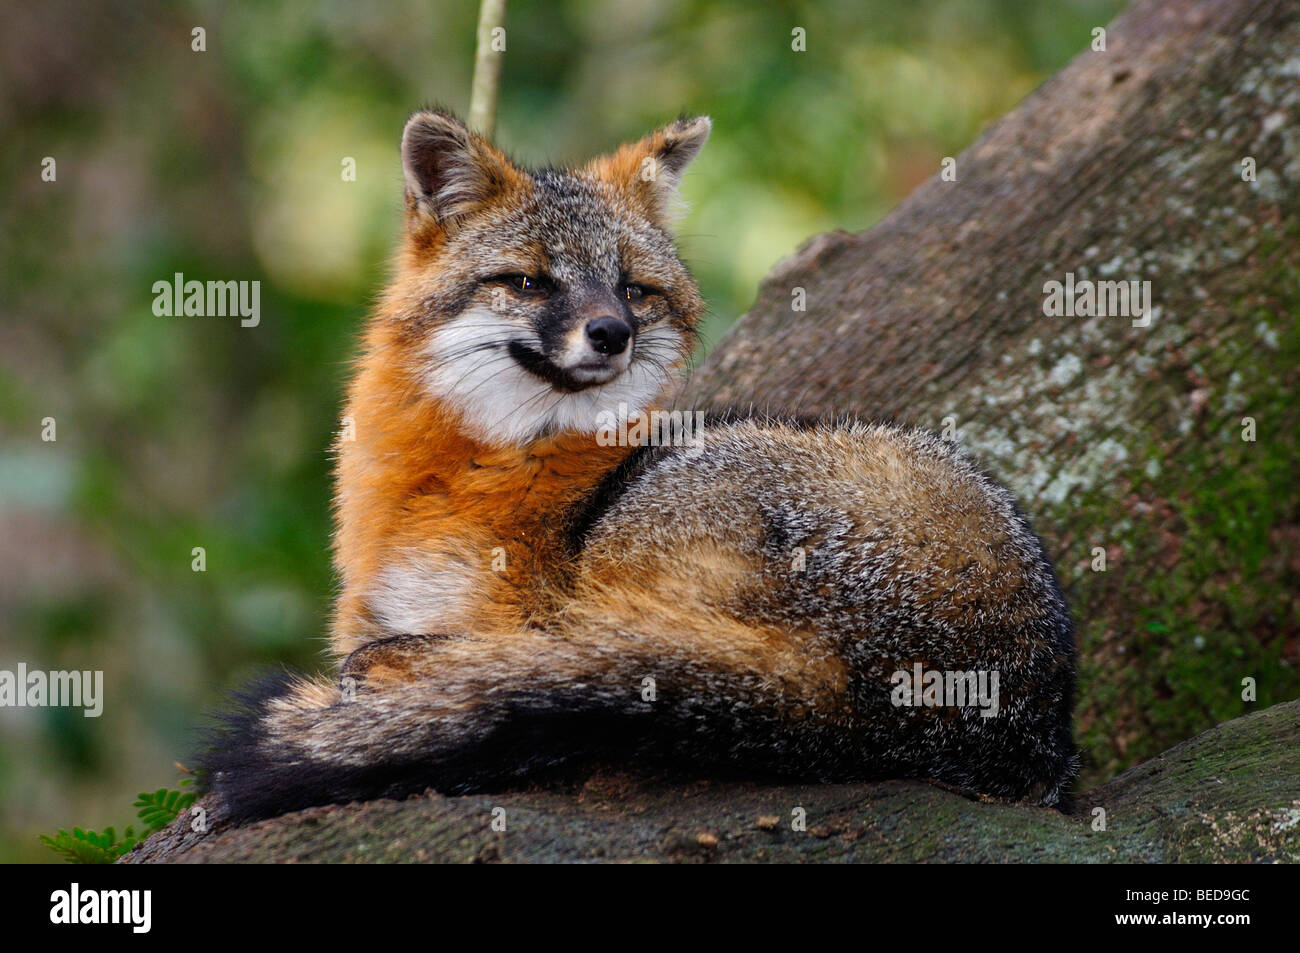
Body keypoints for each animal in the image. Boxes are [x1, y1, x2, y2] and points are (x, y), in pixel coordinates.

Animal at [199, 110, 1079, 822]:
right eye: (529, 281)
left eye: (635, 290)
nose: (611, 333)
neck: (460, 470)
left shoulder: (528, 612)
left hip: (644, 528)